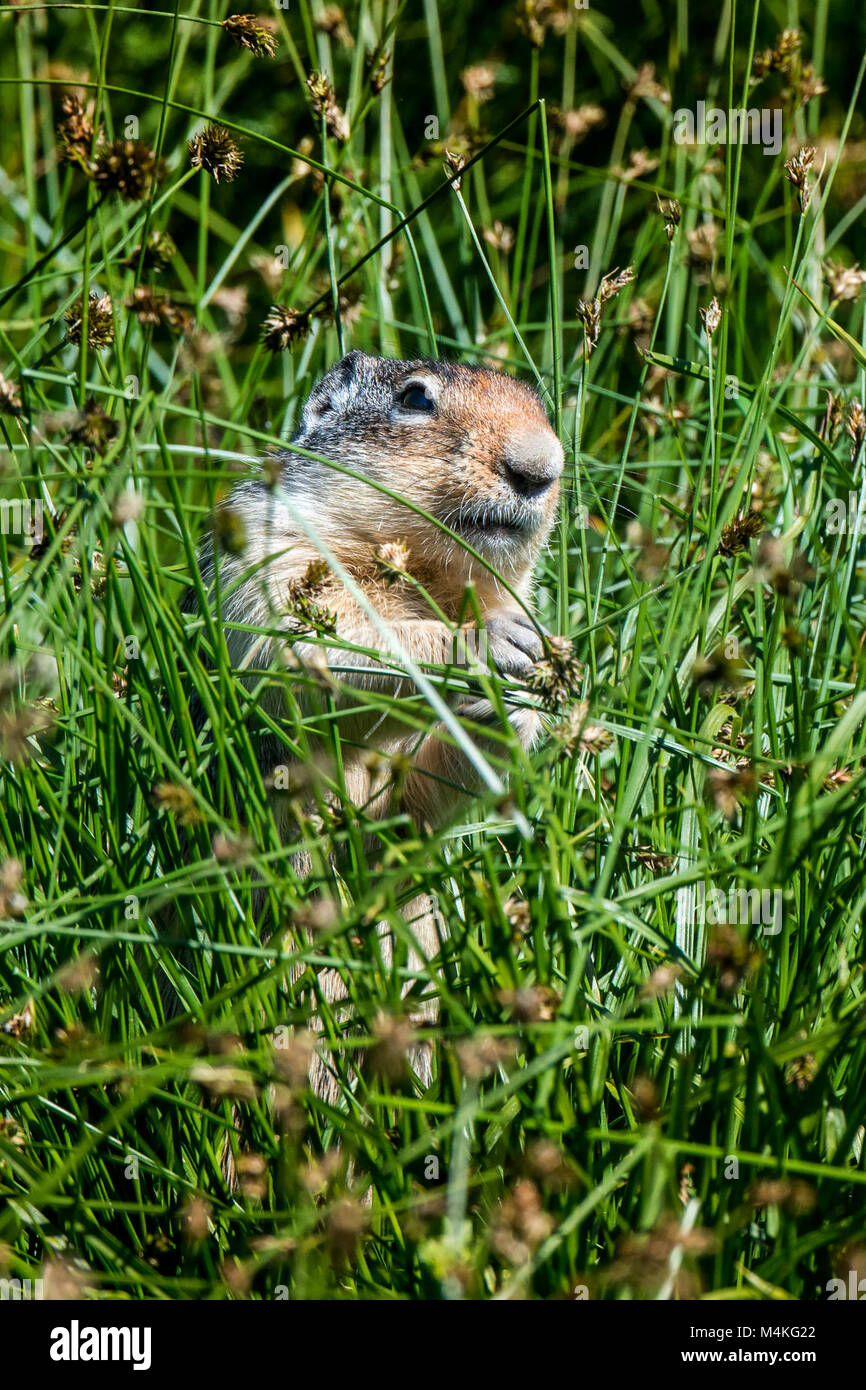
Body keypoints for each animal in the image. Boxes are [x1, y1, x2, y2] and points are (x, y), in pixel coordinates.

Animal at [190, 350, 564, 1101]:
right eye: (415, 398)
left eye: (540, 405)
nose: (540, 467)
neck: (422, 572)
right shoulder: (271, 552)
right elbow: (321, 646)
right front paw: (486, 644)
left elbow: (425, 796)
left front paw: (522, 693)